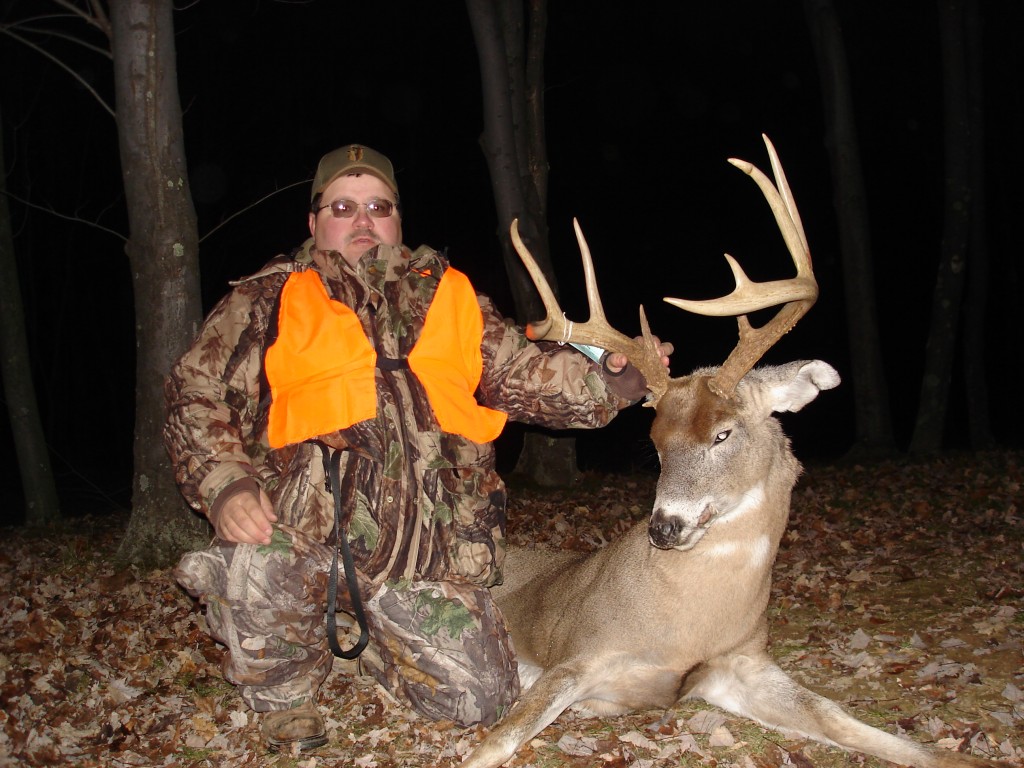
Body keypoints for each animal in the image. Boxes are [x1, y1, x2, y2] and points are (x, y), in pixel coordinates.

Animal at [460, 136, 1007, 768]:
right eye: (656, 442)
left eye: (722, 434)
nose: (664, 527)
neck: (690, 624)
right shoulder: (577, 655)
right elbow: (497, 742)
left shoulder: (742, 664)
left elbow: (851, 723)